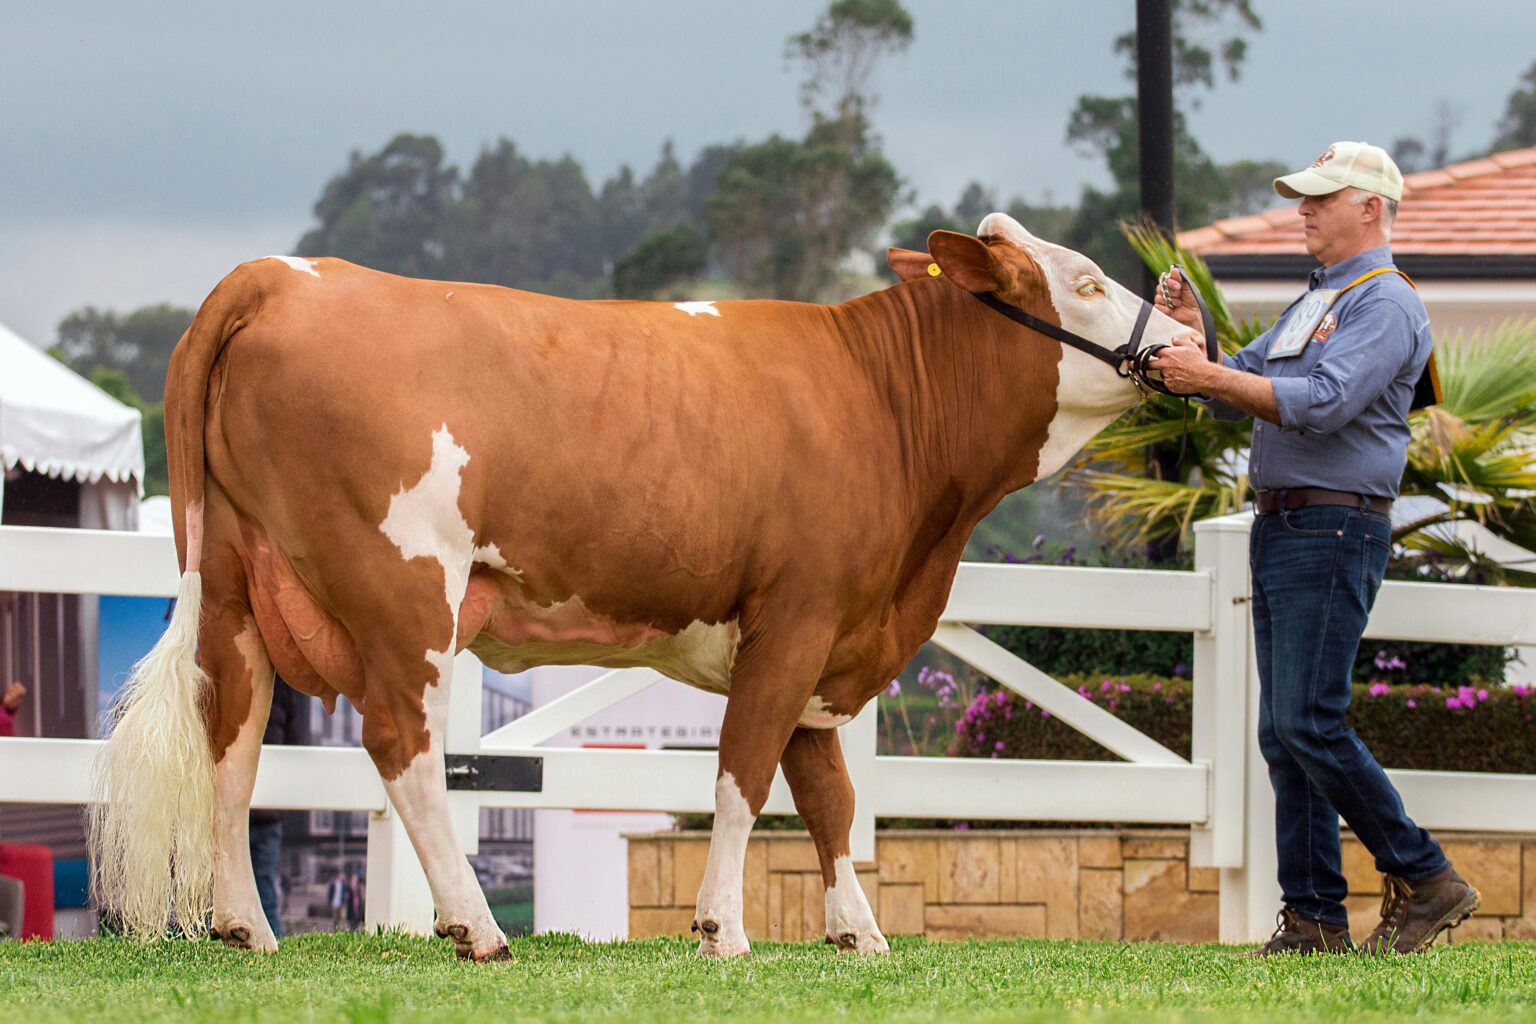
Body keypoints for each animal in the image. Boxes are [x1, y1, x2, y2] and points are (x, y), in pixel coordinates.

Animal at [89, 212, 1191, 959]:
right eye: (1088, 282)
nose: (1185, 334)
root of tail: (281, 276)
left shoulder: (831, 636)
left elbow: (828, 797)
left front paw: (859, 932)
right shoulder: (796, 619)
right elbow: (745, 777)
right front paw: (723, 929)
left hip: (236, 584)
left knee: (231, 743)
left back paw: (248, 929)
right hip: (405, 591)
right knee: (402, 747)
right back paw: (477, 927)